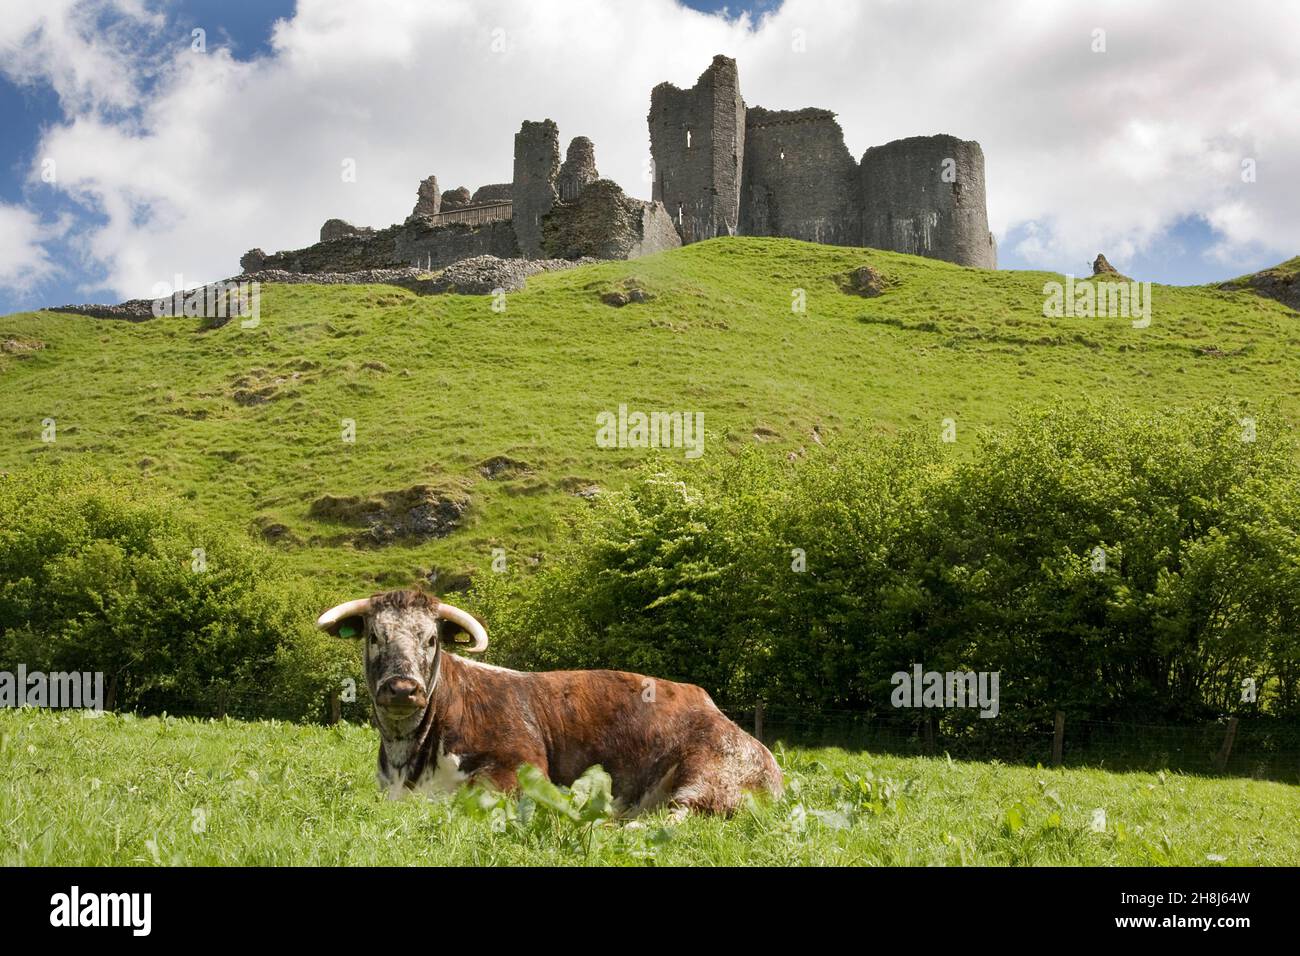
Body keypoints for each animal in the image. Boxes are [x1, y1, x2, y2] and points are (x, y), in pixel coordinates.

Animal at [316, 589, 782, 816]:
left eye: (431, 639)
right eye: (375, 636)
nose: (402, 688)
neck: (407, 759)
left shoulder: (519, 768)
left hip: (708, 773)